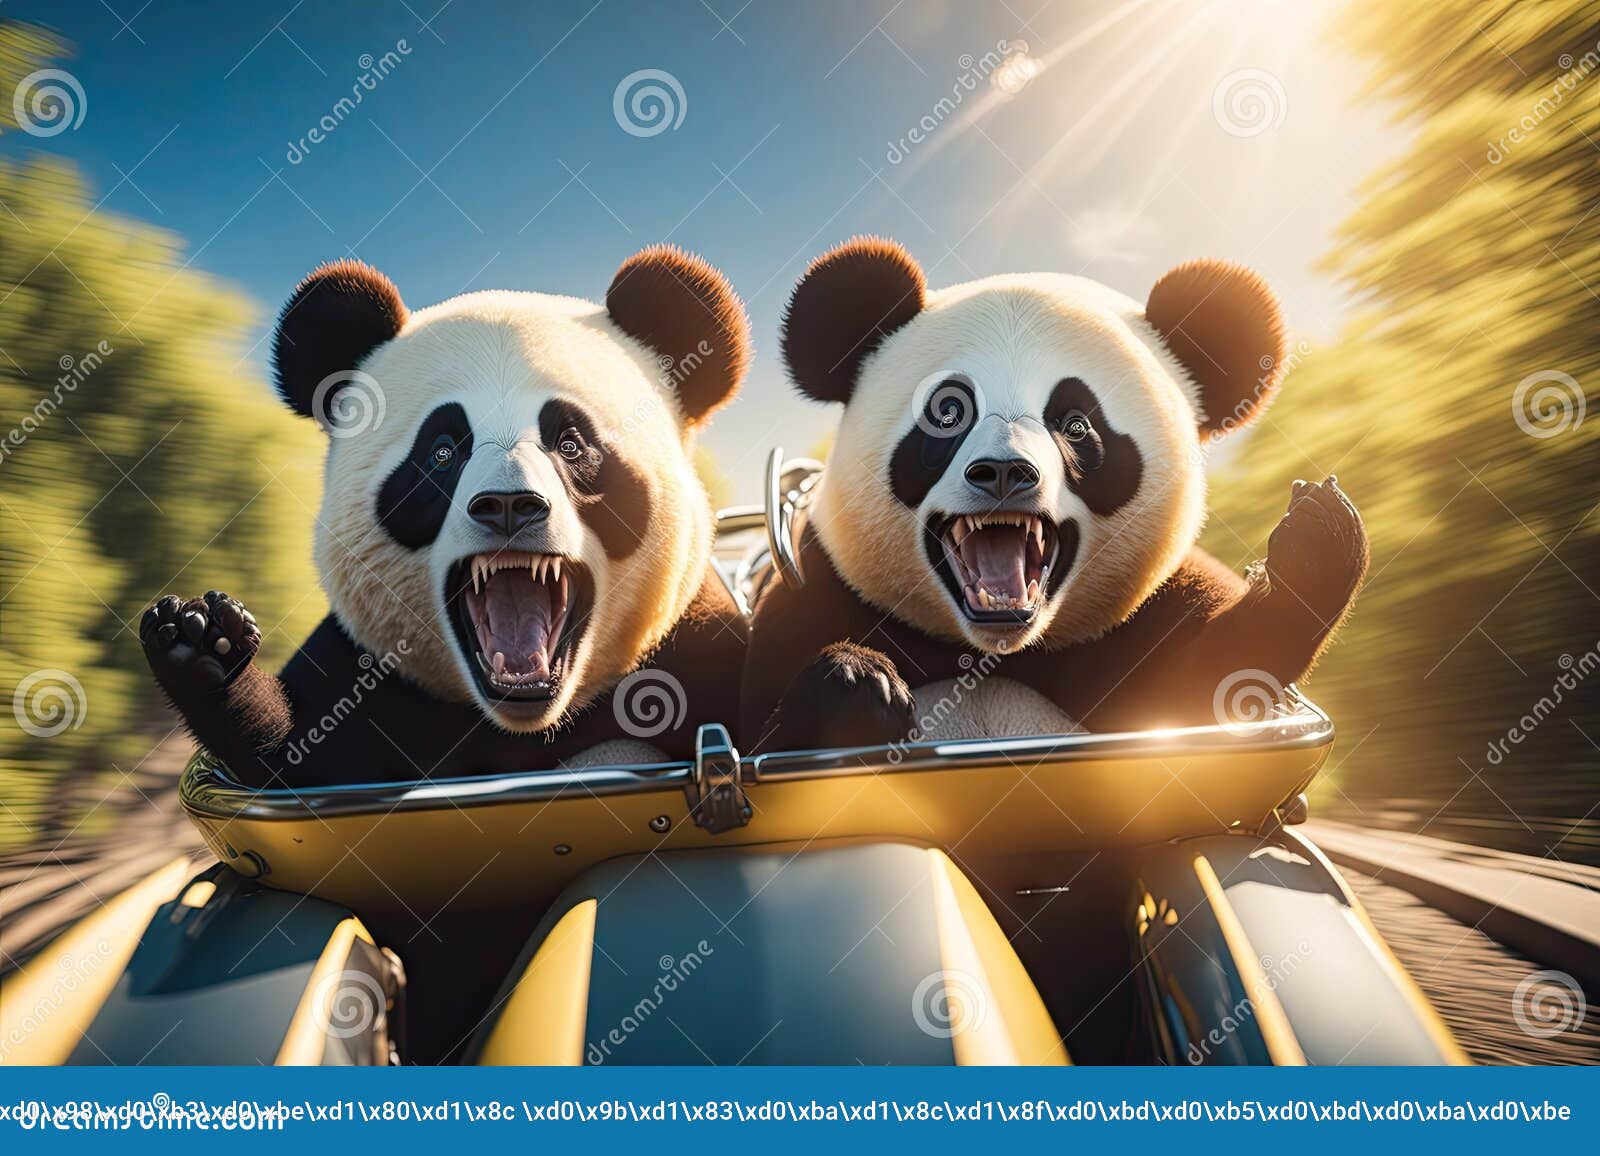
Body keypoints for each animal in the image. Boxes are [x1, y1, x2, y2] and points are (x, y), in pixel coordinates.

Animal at [142, 246, 751, 785]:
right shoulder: (366, 678)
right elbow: (292, 761)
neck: (525, 723)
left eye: (571, 444)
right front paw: (201, 640)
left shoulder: (695, 648)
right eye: (441, 451)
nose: (509, 505)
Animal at [742, 237, 1368, 752]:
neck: (993, 650)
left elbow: (1224, 679)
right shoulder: (820, 597)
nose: (1003, 472)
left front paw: (1316, 530)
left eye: (1076, 424)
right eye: (948, 411)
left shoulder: (1147, 618)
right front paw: (860, 680)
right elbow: (763, 736)